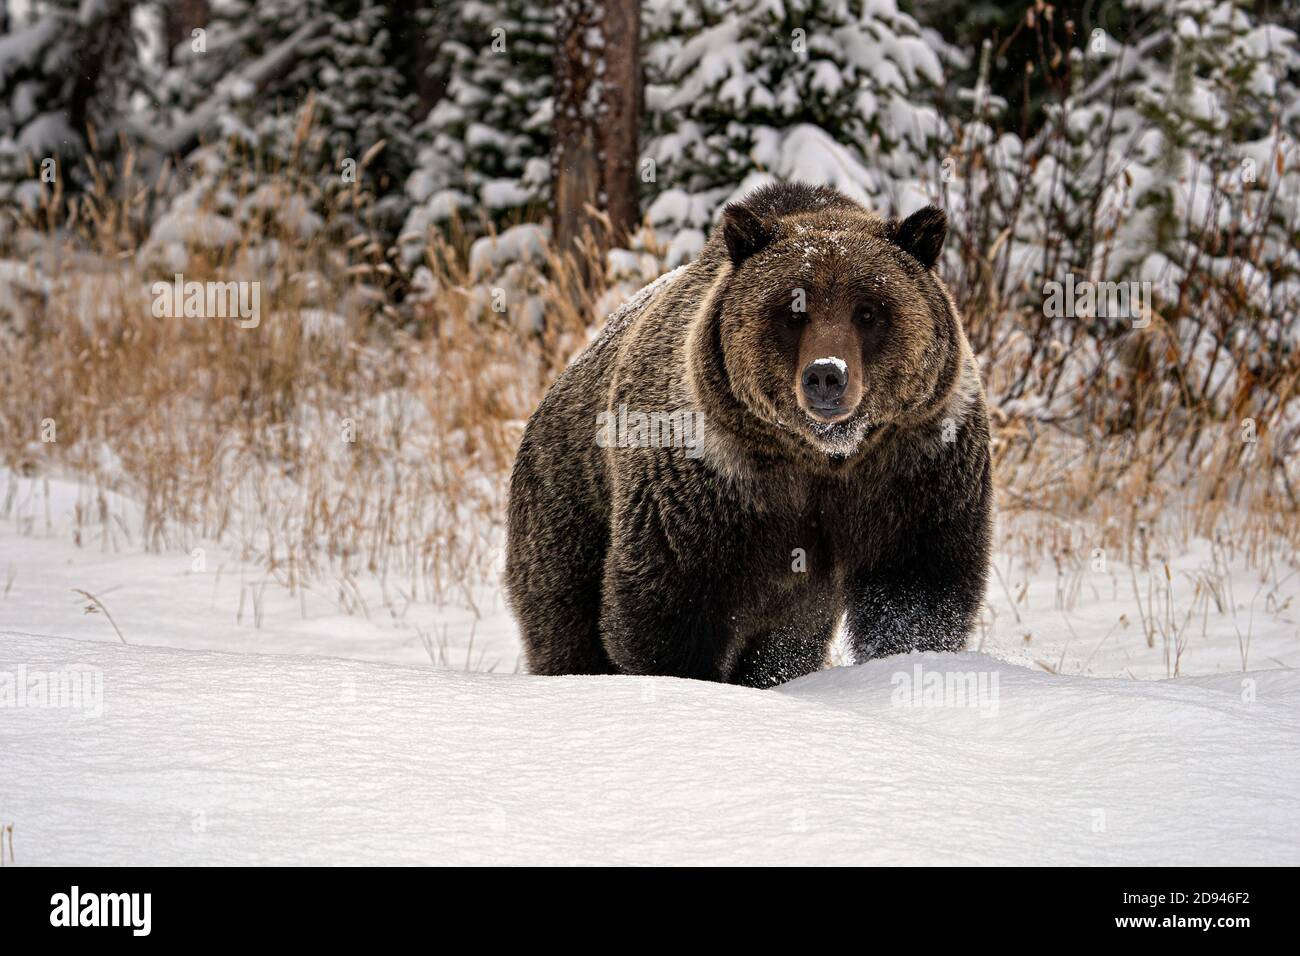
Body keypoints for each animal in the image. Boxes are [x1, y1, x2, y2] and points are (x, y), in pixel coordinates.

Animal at [505, 181, 992, 687]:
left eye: (869, 311)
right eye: (794, 310)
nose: (826, 375)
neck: (821, 455)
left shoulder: (915, 466)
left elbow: (917, 589)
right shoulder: (707, 483)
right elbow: (667, 605)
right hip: (570, 503)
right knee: (563, 619)